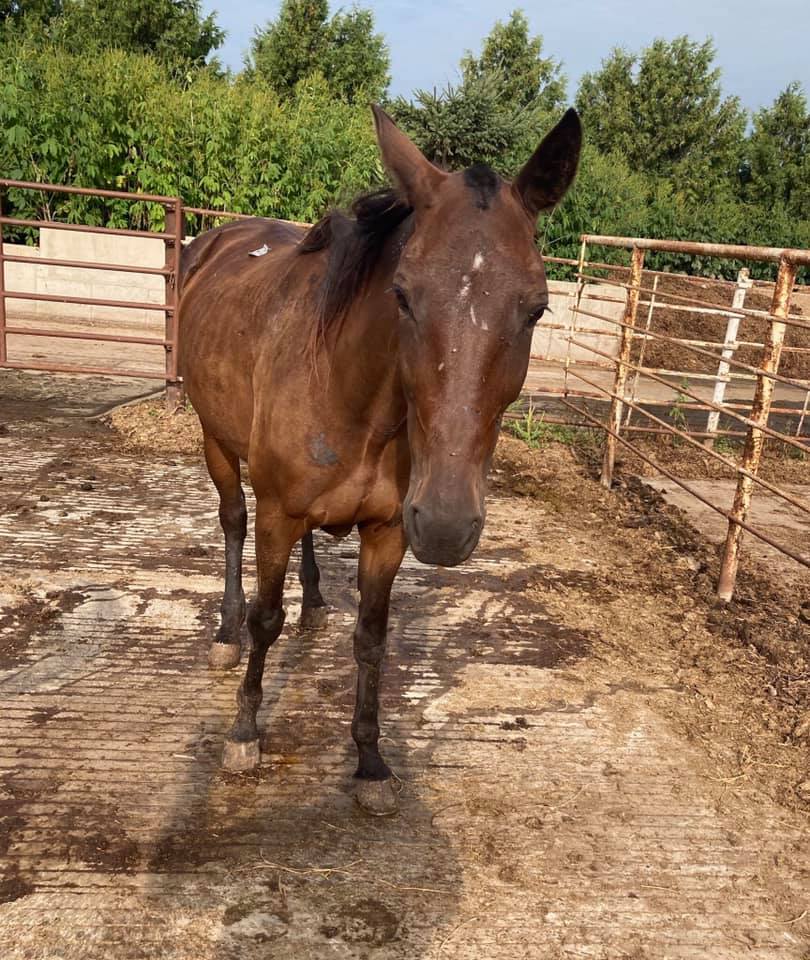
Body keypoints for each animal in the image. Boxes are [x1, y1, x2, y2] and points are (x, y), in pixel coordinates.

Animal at [179, 105, 582, 815]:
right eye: (402, 295)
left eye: (537, 308)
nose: (445, 525)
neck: (349, 392)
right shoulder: (277, 513)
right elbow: (266, 619)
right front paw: (245, 731)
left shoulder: (388, 531)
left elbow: (371, 639)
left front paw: (369, 762)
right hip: (217, 445)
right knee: (231, 524)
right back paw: (225, 634)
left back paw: (315, 601)